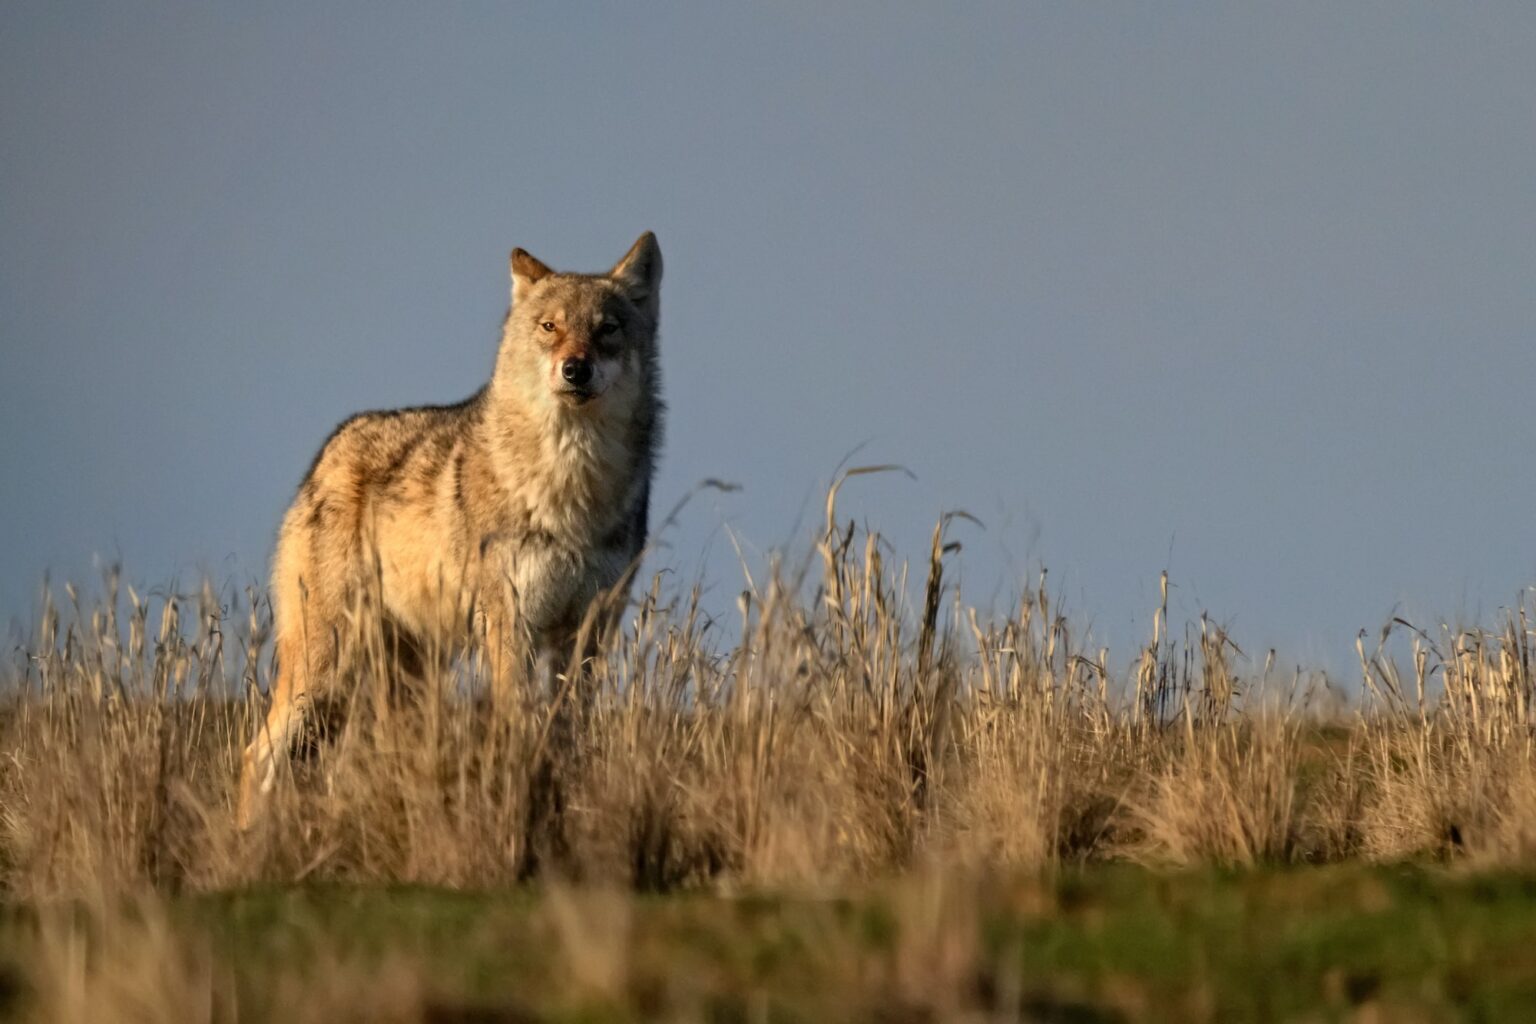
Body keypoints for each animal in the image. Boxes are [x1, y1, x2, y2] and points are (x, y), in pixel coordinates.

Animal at [237, 233, 663, 828]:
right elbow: (519, 725)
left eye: (607, 329)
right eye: (549, 327)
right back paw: (245, 842)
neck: (573, 486)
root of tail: (324, 456)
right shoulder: (509, 624)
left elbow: (568, 732)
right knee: (256, 753)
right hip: (326, 670)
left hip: (401, 675)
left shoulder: (587, 631)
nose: (575, 369)